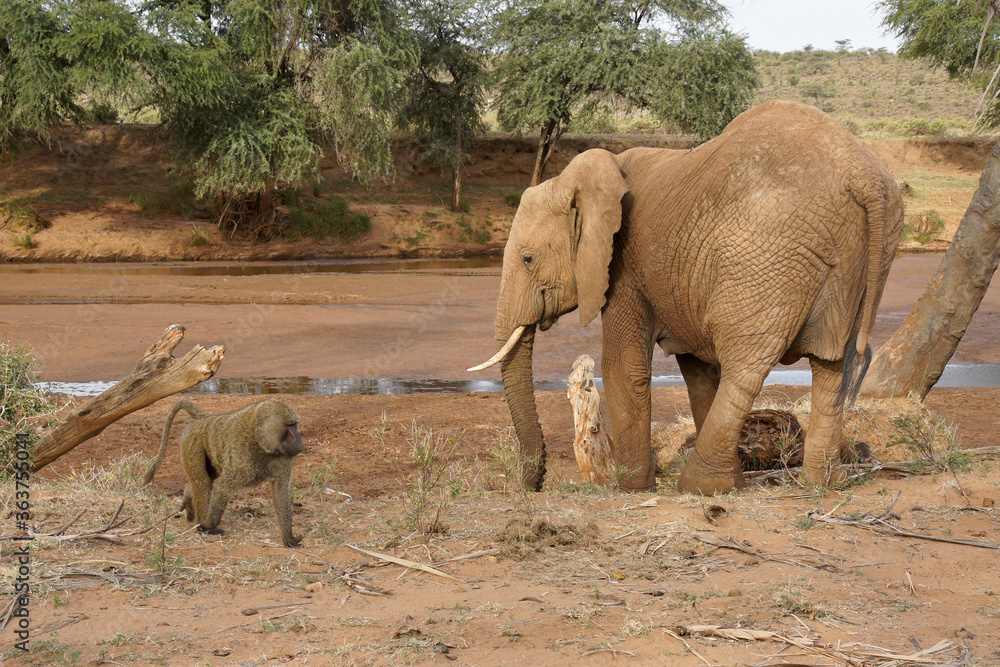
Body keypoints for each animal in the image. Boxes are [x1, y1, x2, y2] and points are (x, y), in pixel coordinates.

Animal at [143, 398, 305, 547]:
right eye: (290, 426)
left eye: (295, 425)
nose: (301, 446)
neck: (260, 441)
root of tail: (203, 418)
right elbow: (222, 486)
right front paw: (208, 525)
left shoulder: (284, 456)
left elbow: (280, 489)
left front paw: (289, 538)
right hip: (191, 442)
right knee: (202, 483)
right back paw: (200, 525)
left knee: (202, 481)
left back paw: (189, 503)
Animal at [470, 100, 904, 494]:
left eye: (528, 259)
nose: (532, 484)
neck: (580, 178)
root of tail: (864, 178)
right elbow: (697, 370)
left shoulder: (626, 262)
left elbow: (623, 365)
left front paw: (629, 487)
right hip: (872, 254)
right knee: (832, 364)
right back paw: (821, 484)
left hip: (770, 253)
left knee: (745, 366)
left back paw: (700, 486)